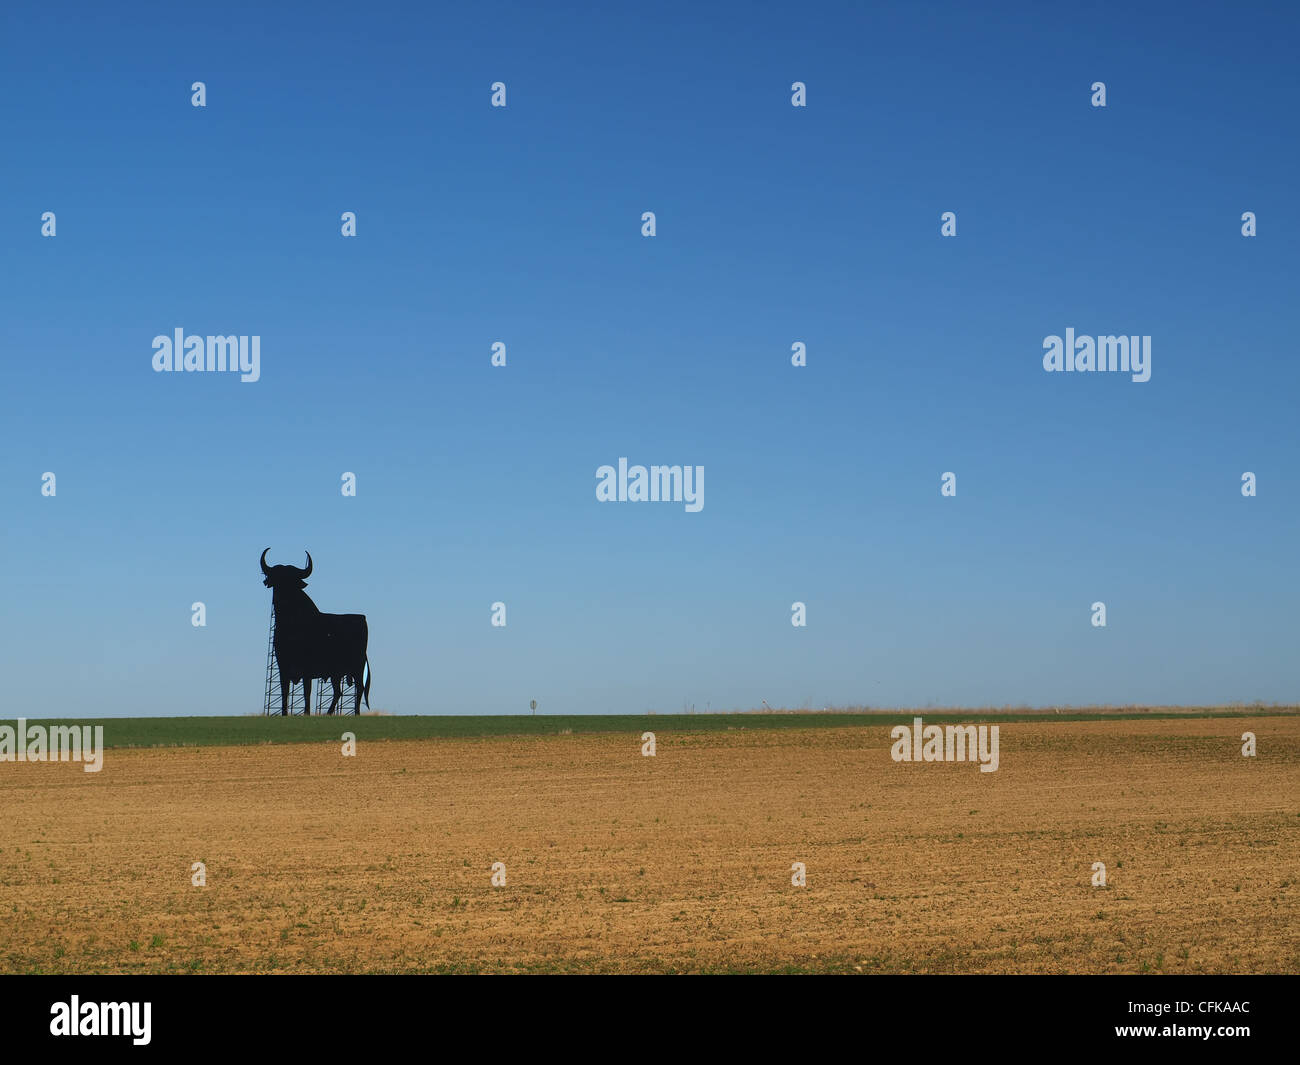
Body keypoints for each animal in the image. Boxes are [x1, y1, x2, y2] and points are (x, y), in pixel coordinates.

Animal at [260, 549, 371, 715]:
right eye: (277, 579)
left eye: (292, 580)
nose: (282, 598)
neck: (291, 626)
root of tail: (362, 618)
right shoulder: (282, 665)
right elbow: (284, 691)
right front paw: (284, 713)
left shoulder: (307, 667)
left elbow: (306, 691)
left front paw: (306, 713)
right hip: (336, 673)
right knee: (338, 691)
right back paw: (329, 713)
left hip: (357, 666)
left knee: (359, 688)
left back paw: (356, 713)